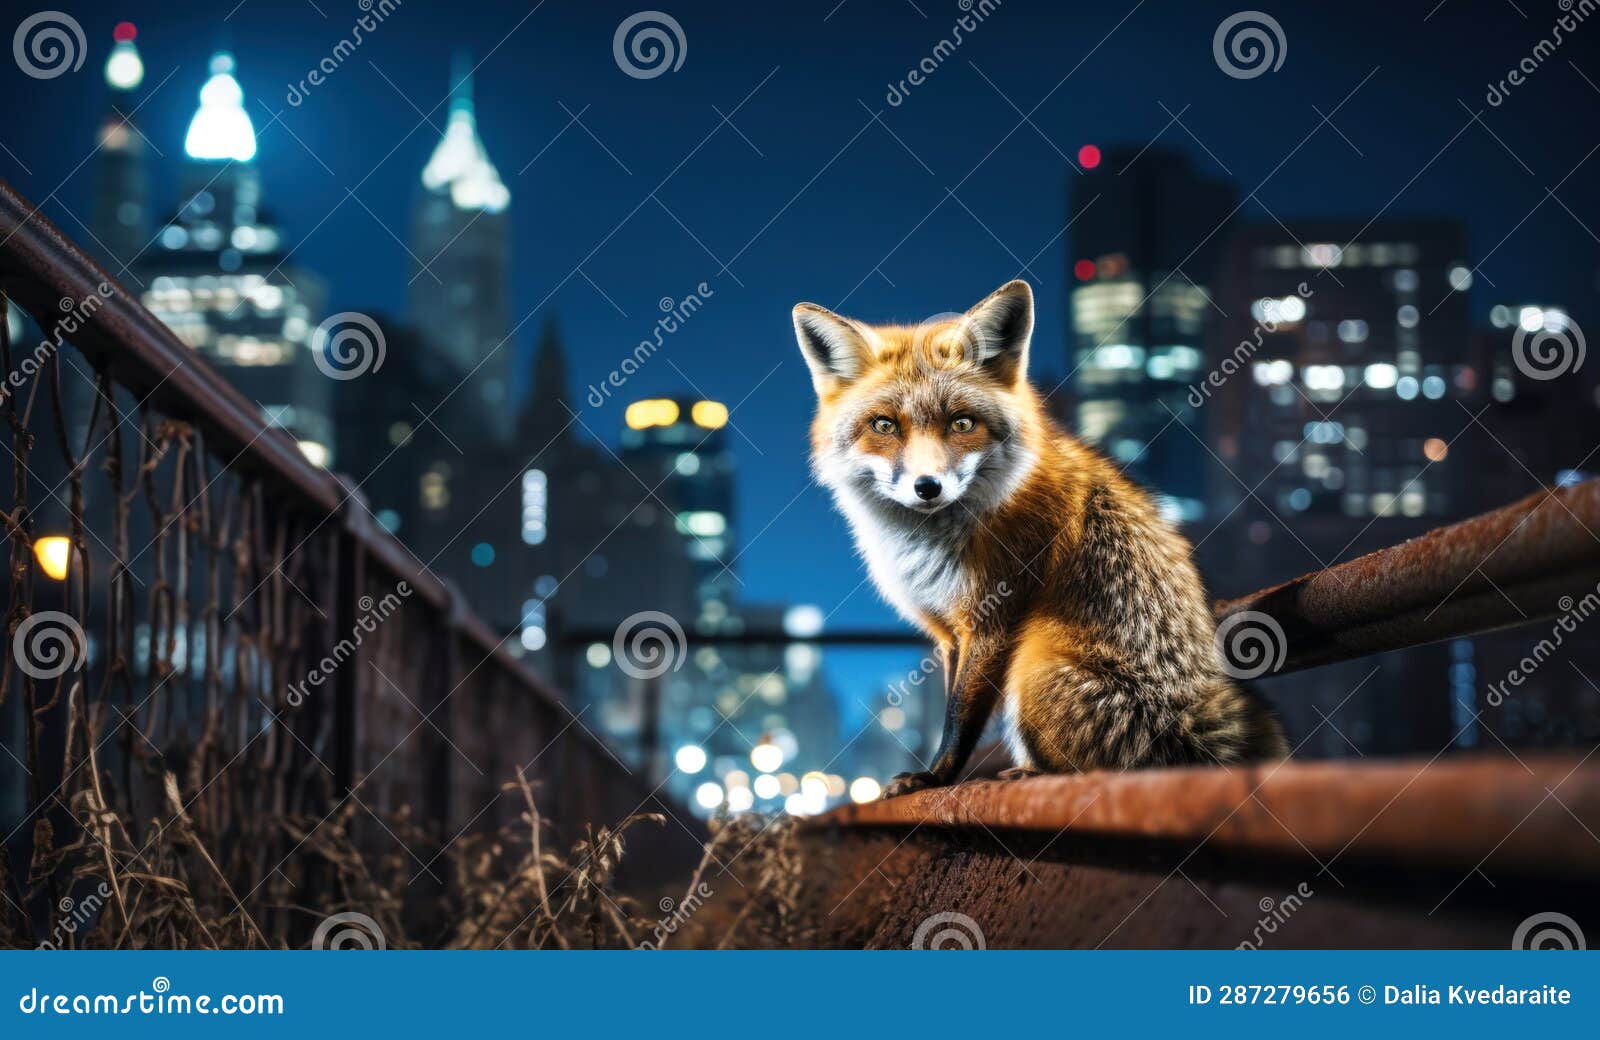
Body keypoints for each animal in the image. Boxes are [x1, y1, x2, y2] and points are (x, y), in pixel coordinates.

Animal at [791, 279, 1287, 798]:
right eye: (884, 425)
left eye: (961, 423)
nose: (928, 487)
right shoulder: (949, 632)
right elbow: (950, 703)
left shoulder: (993, 617)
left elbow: (959, 718)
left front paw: (935, 776)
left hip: (1033, 663)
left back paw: (1034, 771)